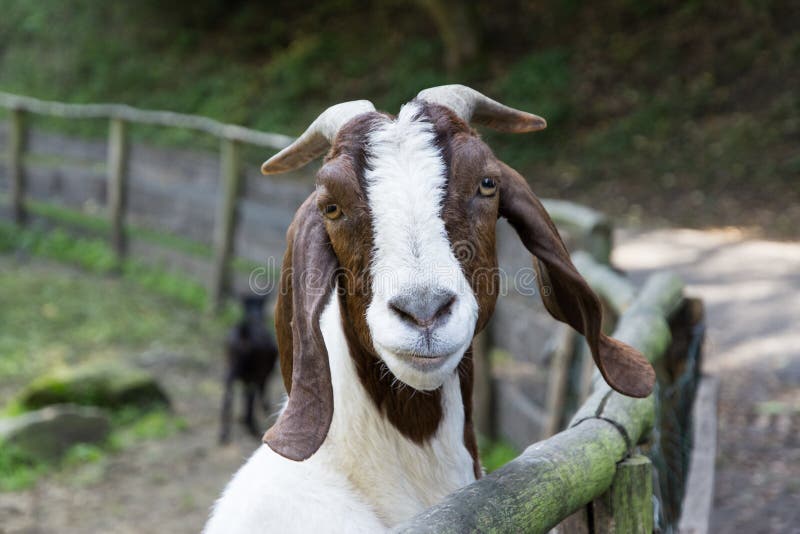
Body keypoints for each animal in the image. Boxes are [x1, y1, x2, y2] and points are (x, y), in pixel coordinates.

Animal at [218, 294, 279, 444]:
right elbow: (258, 394)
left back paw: (224, 433)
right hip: (254, 371)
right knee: (250, 395)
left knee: (228, 397)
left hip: (229, 368)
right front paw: (265, 407)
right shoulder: (262, 373)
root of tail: (244, 331)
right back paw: (252, 427)